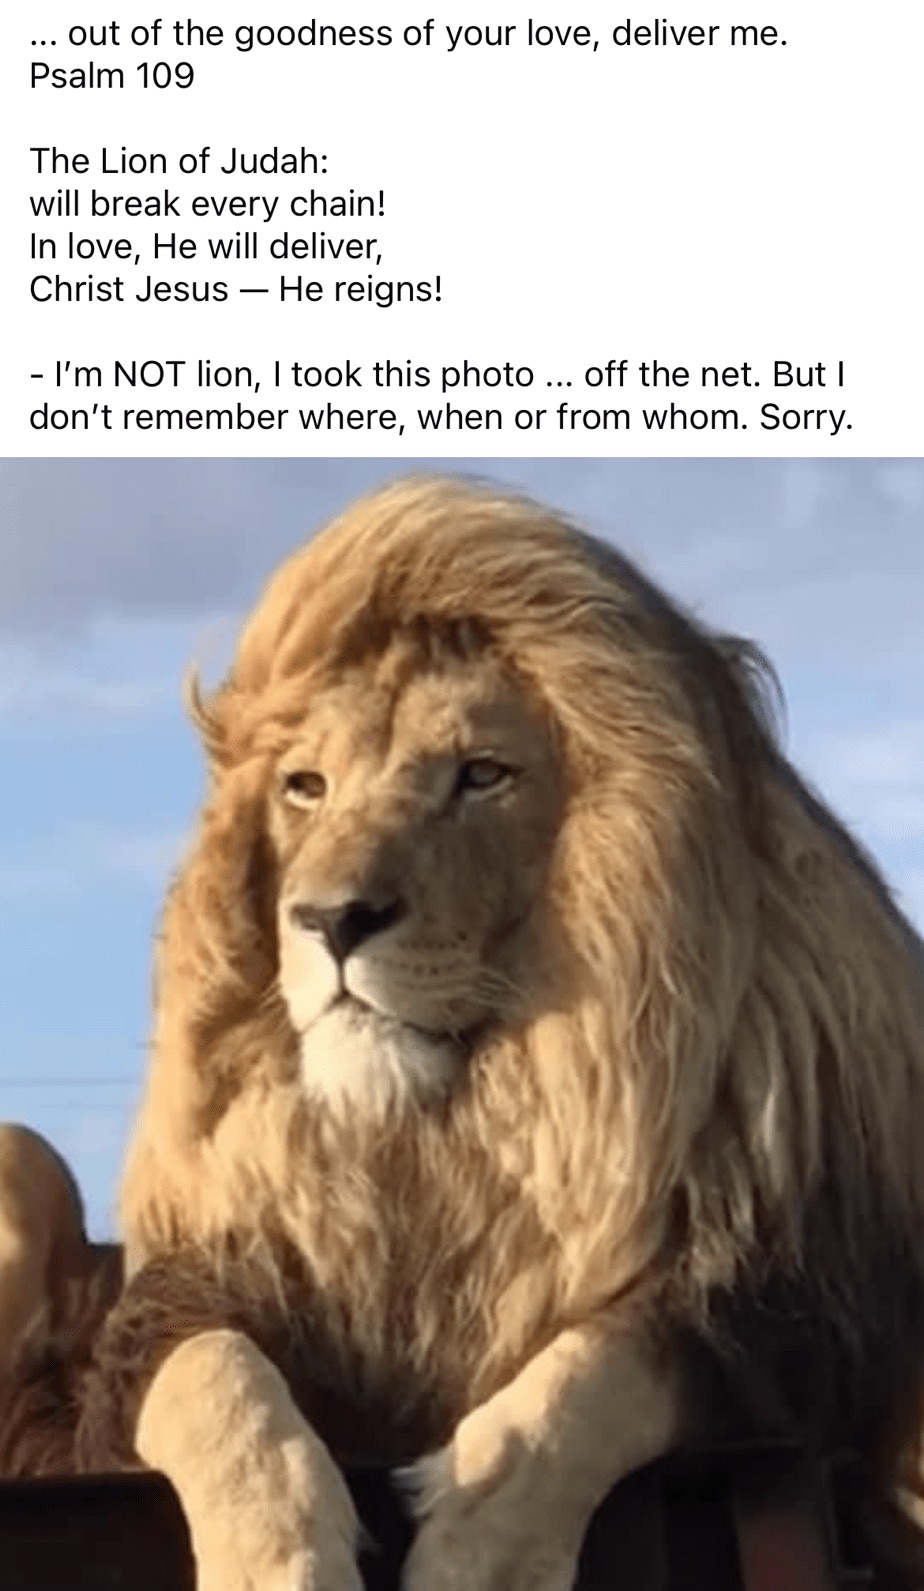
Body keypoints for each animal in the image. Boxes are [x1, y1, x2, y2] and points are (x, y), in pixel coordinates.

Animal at [3, 475, 924, 1590]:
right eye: (305, 787)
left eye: (481, 775)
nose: (331, 919)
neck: (447, 1125)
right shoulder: (200, 1288)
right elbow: (221, 1387)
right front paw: (277, 1559)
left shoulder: (786, 1322)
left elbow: (586, 1379)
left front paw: (479, 1550)